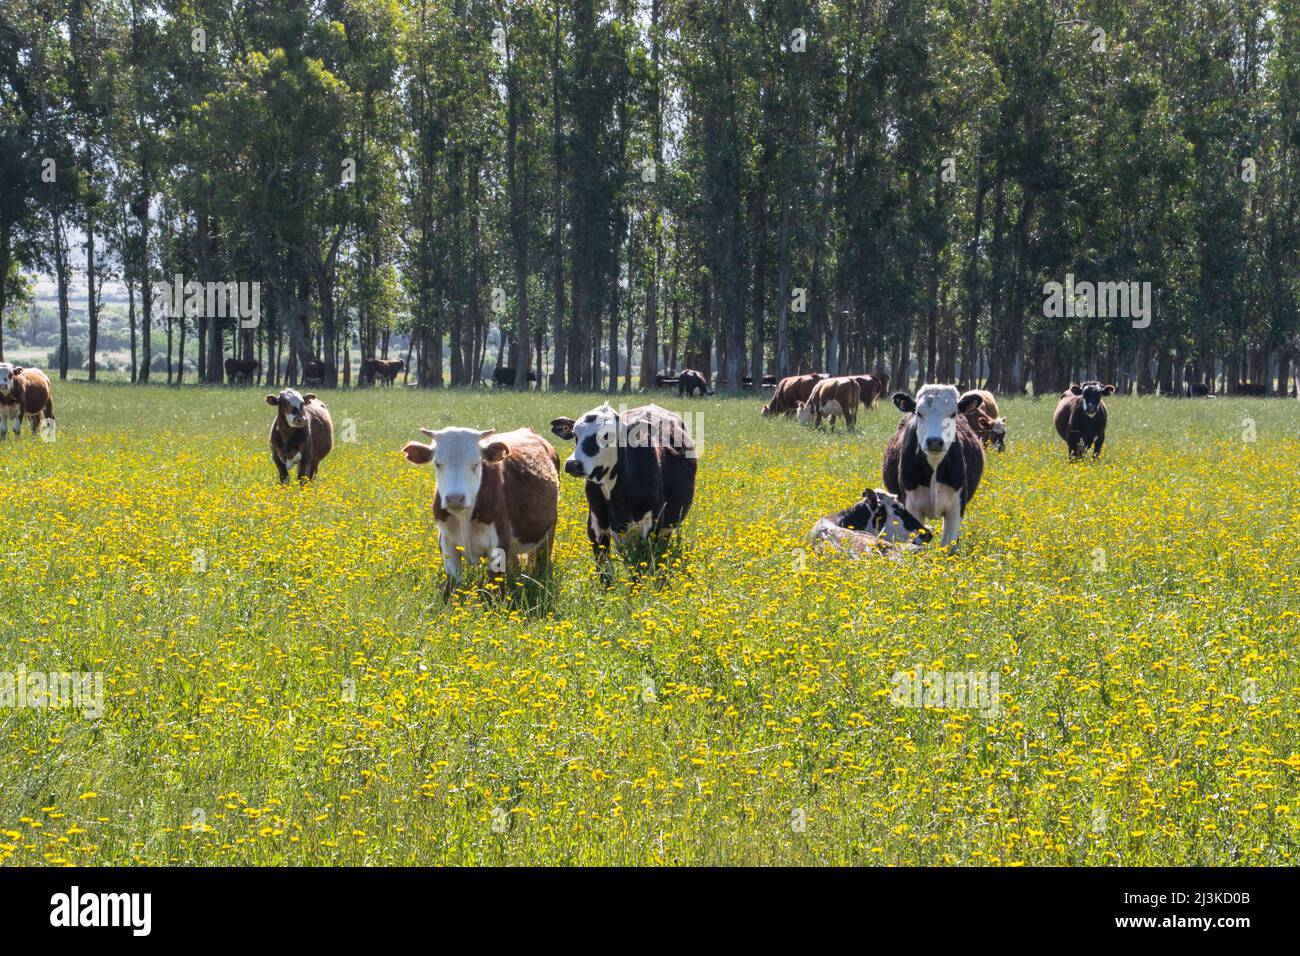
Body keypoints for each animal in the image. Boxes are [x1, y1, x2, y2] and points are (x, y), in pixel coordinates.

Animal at [402, 426, 559, 596]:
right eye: (437, 464)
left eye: (476, 464)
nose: (455, 498)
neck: (463, 518)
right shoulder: (446, 543)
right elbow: (453, 587)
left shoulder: (499, 543)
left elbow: (493, 589)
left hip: (549, 531)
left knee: (542, 560)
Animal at [549, 403, 697, 584]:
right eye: (575, 434)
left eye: (606, 435)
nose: (572, 464)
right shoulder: (595, 522)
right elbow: (605, 571)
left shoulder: (653, 524)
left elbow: (641, 568)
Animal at [882, 385, 985, 550]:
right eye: (919, 412)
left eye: (953, 413)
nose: (935, 441)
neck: (934, 468)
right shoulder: (911, 507)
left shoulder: (956, 507)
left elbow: (949, 547)